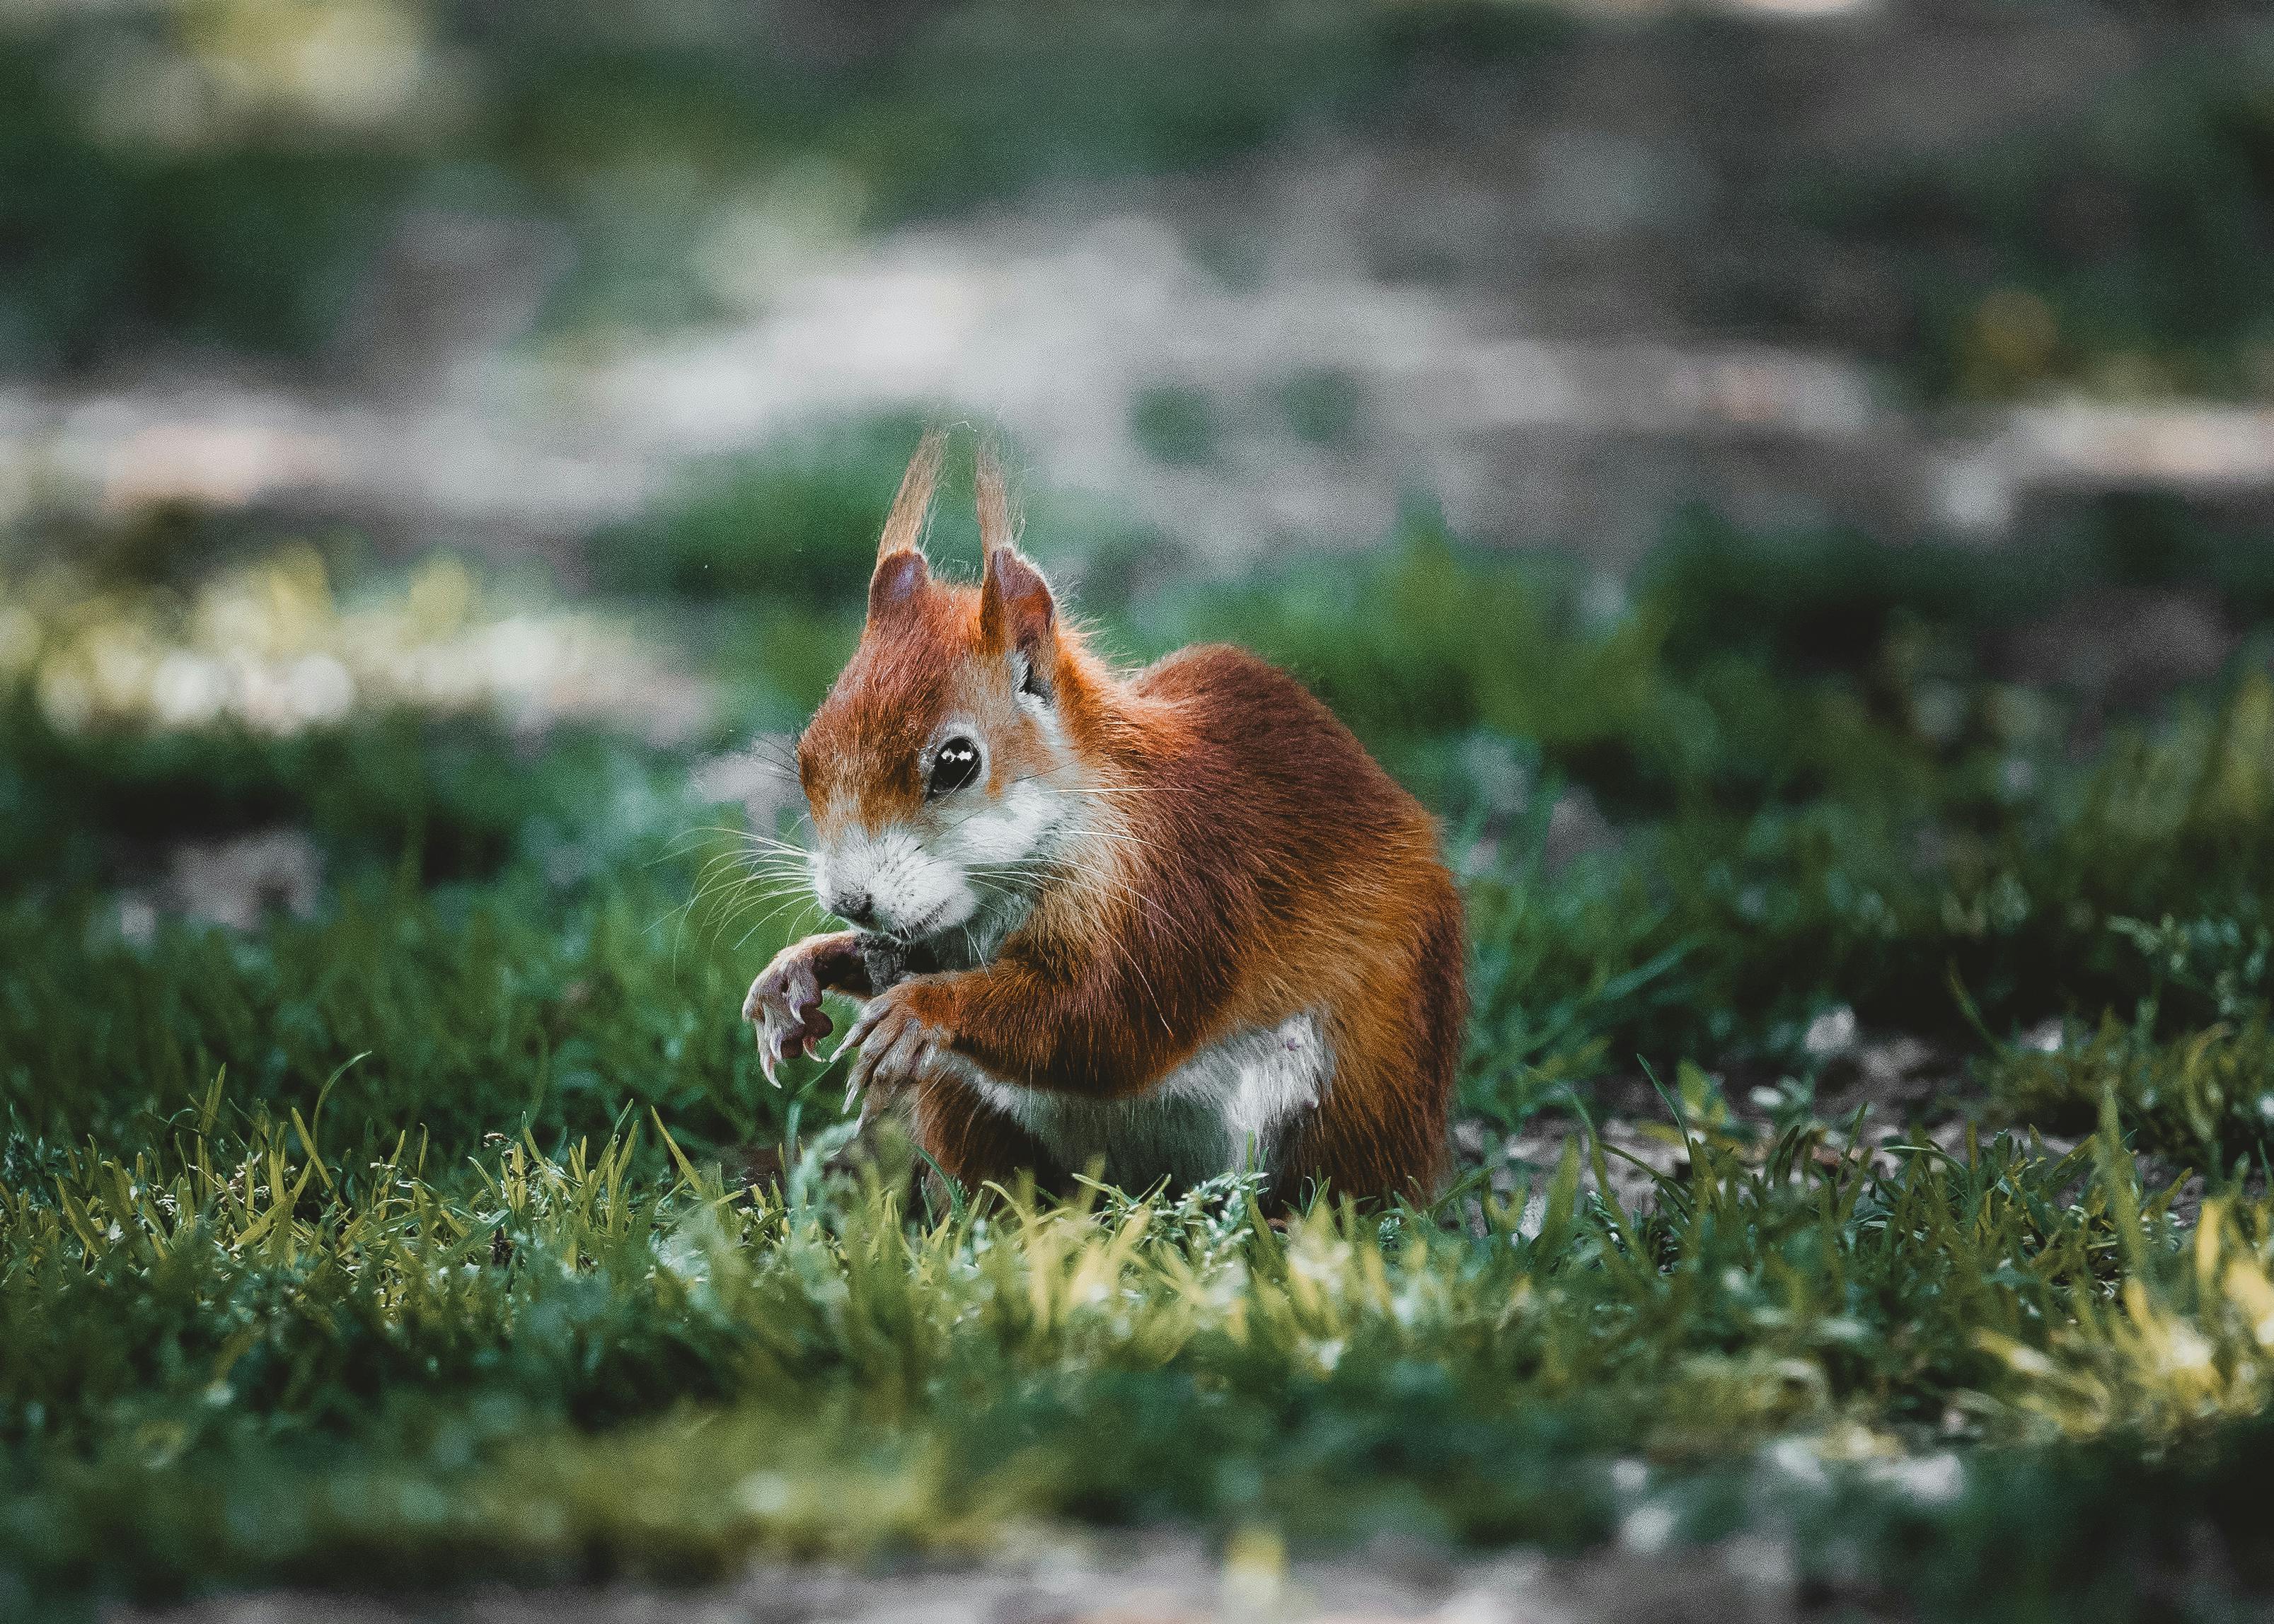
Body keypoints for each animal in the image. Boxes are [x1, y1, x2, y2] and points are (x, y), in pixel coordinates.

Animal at [741, 432, 1465, 1206]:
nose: (850, 900)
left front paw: (925, 1009)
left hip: (1361, 1090)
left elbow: (1109, 1022)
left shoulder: (1180, 888)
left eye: (958, 761)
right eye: (808, 753)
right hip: (966, 1105)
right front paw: (798, 971)